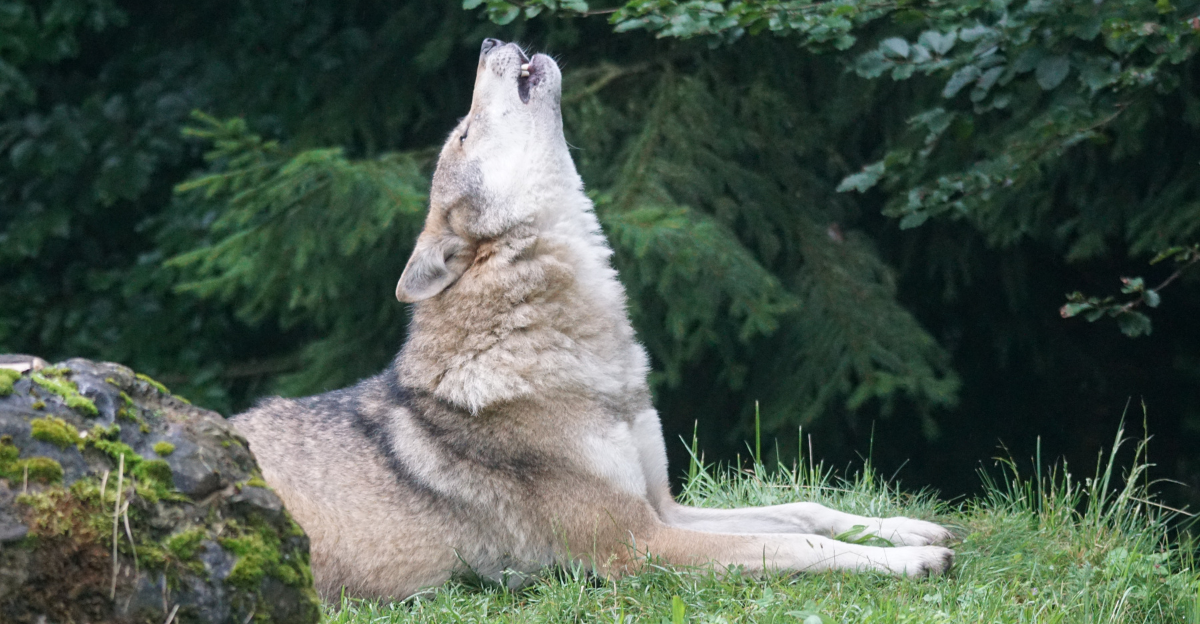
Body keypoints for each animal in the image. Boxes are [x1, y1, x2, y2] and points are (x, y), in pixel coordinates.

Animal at [232, 38, 955, 600]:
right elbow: (794, 546)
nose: (490, 39)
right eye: (462, 134)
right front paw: (913, 561)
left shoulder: (663, 507)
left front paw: (909, 528)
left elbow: (802, 510)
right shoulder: (636, 544)